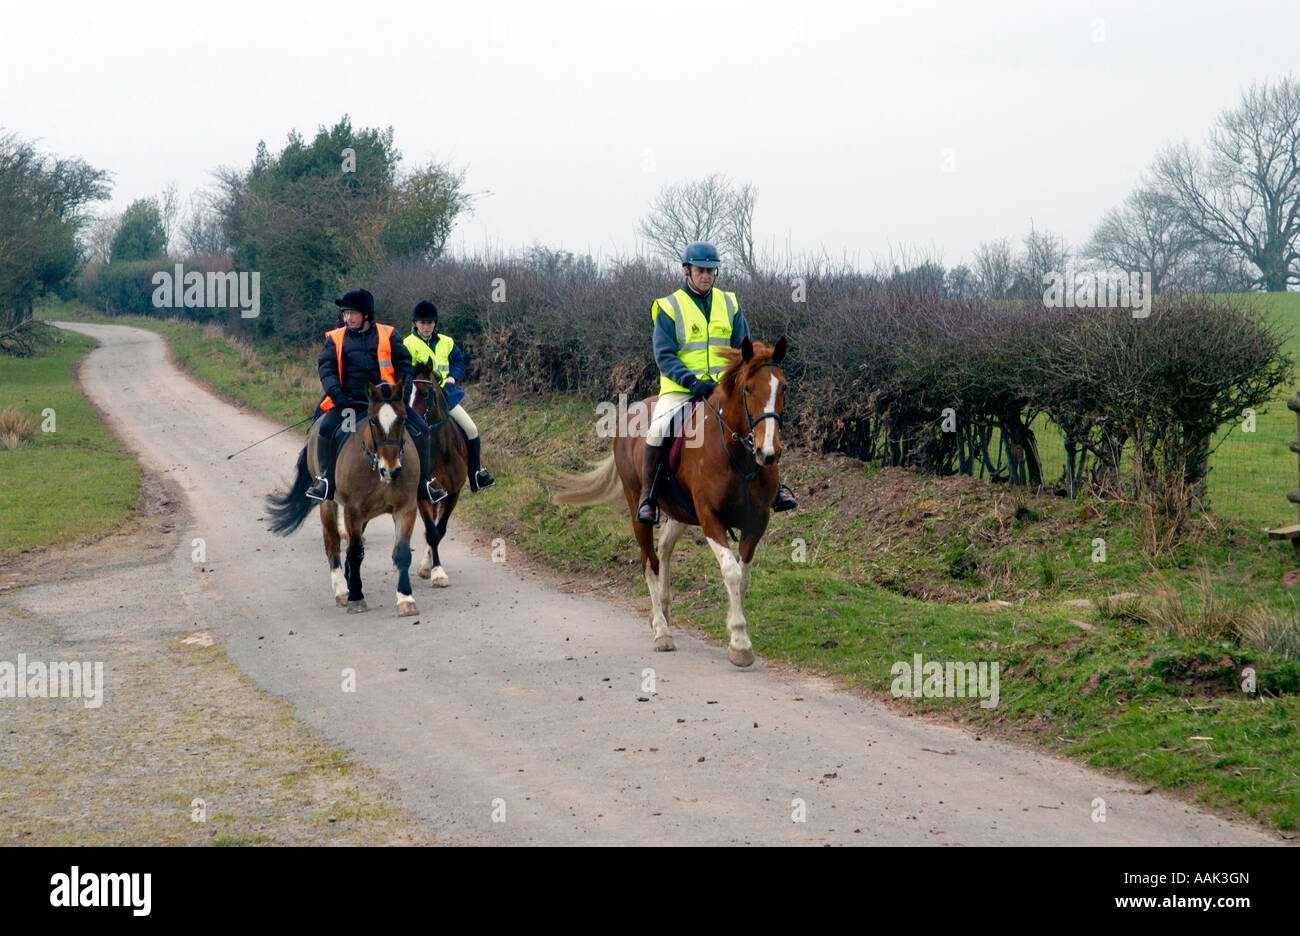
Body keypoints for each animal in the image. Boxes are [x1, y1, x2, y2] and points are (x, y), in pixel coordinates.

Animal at [266, 380, 427, 615]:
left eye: (403, 419)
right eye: (373, 420)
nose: (392, 470)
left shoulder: (405, 508)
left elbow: (402, 552)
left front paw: (406, 599)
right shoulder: (353, 511)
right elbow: (354, 552)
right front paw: (356, 597)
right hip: (328, 503)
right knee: (333, 543)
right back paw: (342, 591)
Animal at [407, 361, 468, 587]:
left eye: (424, 393)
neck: (441, 451)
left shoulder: (453, 493)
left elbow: (439, 530)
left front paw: (433, 568)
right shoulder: (423, 494)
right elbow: (432, 532)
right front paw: (436, 571)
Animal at [553, 336, 788, 667]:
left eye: (783, 388)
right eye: (748, 390)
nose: (768, 453)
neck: (737, 454)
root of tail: (634, 409)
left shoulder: (757, 522)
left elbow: (743, 577)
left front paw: (736, 632)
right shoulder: (710, 518)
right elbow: (731, 571)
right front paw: (740, 642)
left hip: (679, 511)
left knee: (664, 547)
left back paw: (661, 612)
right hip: (637, 508)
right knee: (649, 561)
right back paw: (661, 632)